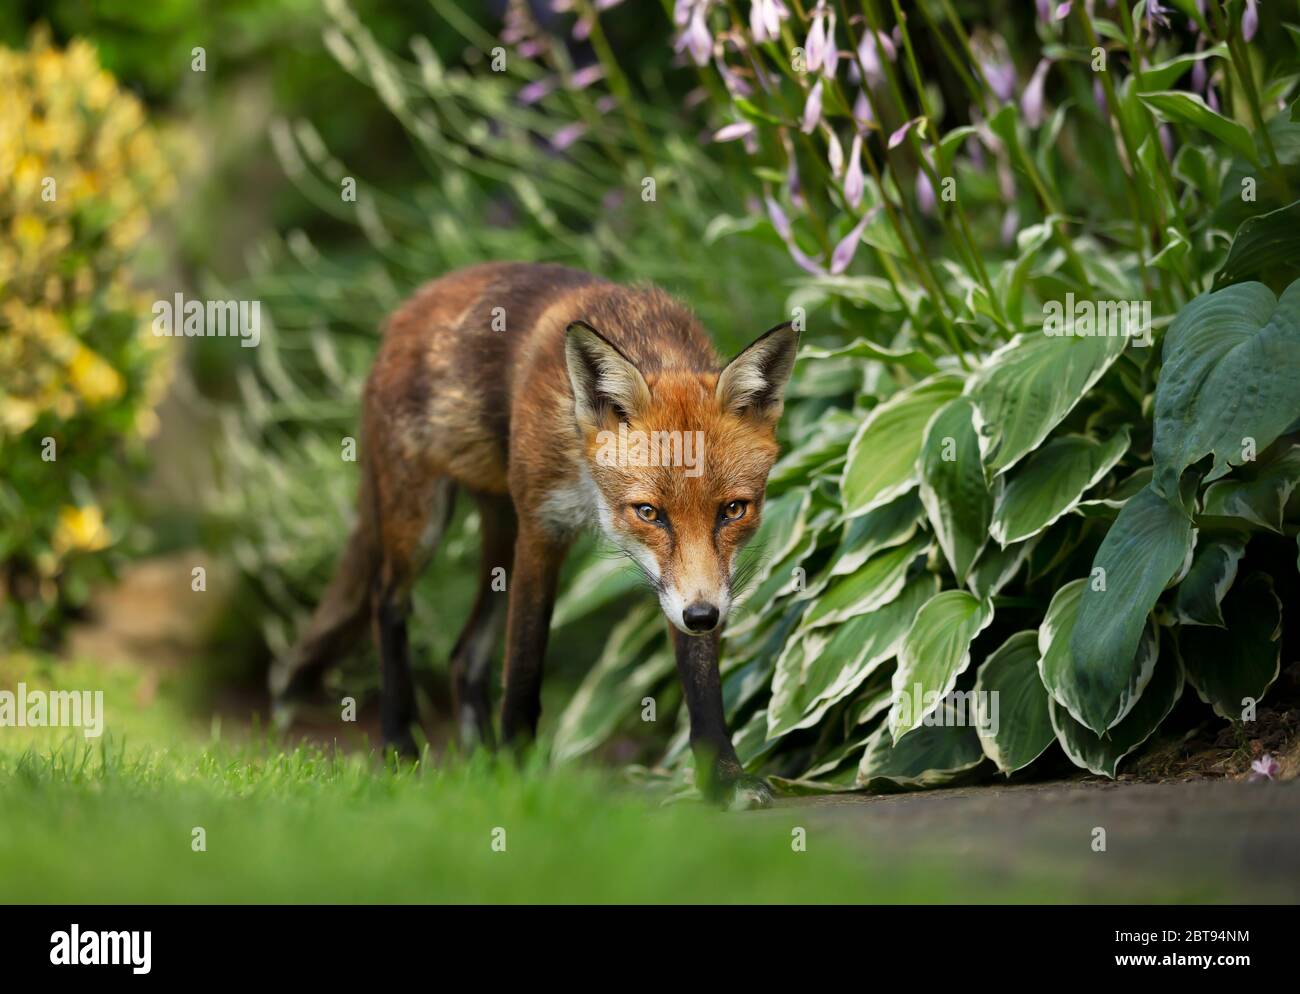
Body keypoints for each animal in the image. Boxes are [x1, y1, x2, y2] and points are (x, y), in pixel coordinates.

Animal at [269, 261, 799, 808]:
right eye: (649, 512)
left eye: (733, 510)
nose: (703, 616)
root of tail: (407, 307)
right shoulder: (543, 530)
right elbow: (524, 664)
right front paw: (515, 774)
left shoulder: (690, 583)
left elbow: (702, 680)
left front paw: (724, 778)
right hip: (422, 518)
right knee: (387, 601)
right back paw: (401, 750)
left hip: (500, 530)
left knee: (463, 656)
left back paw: (476, 764)